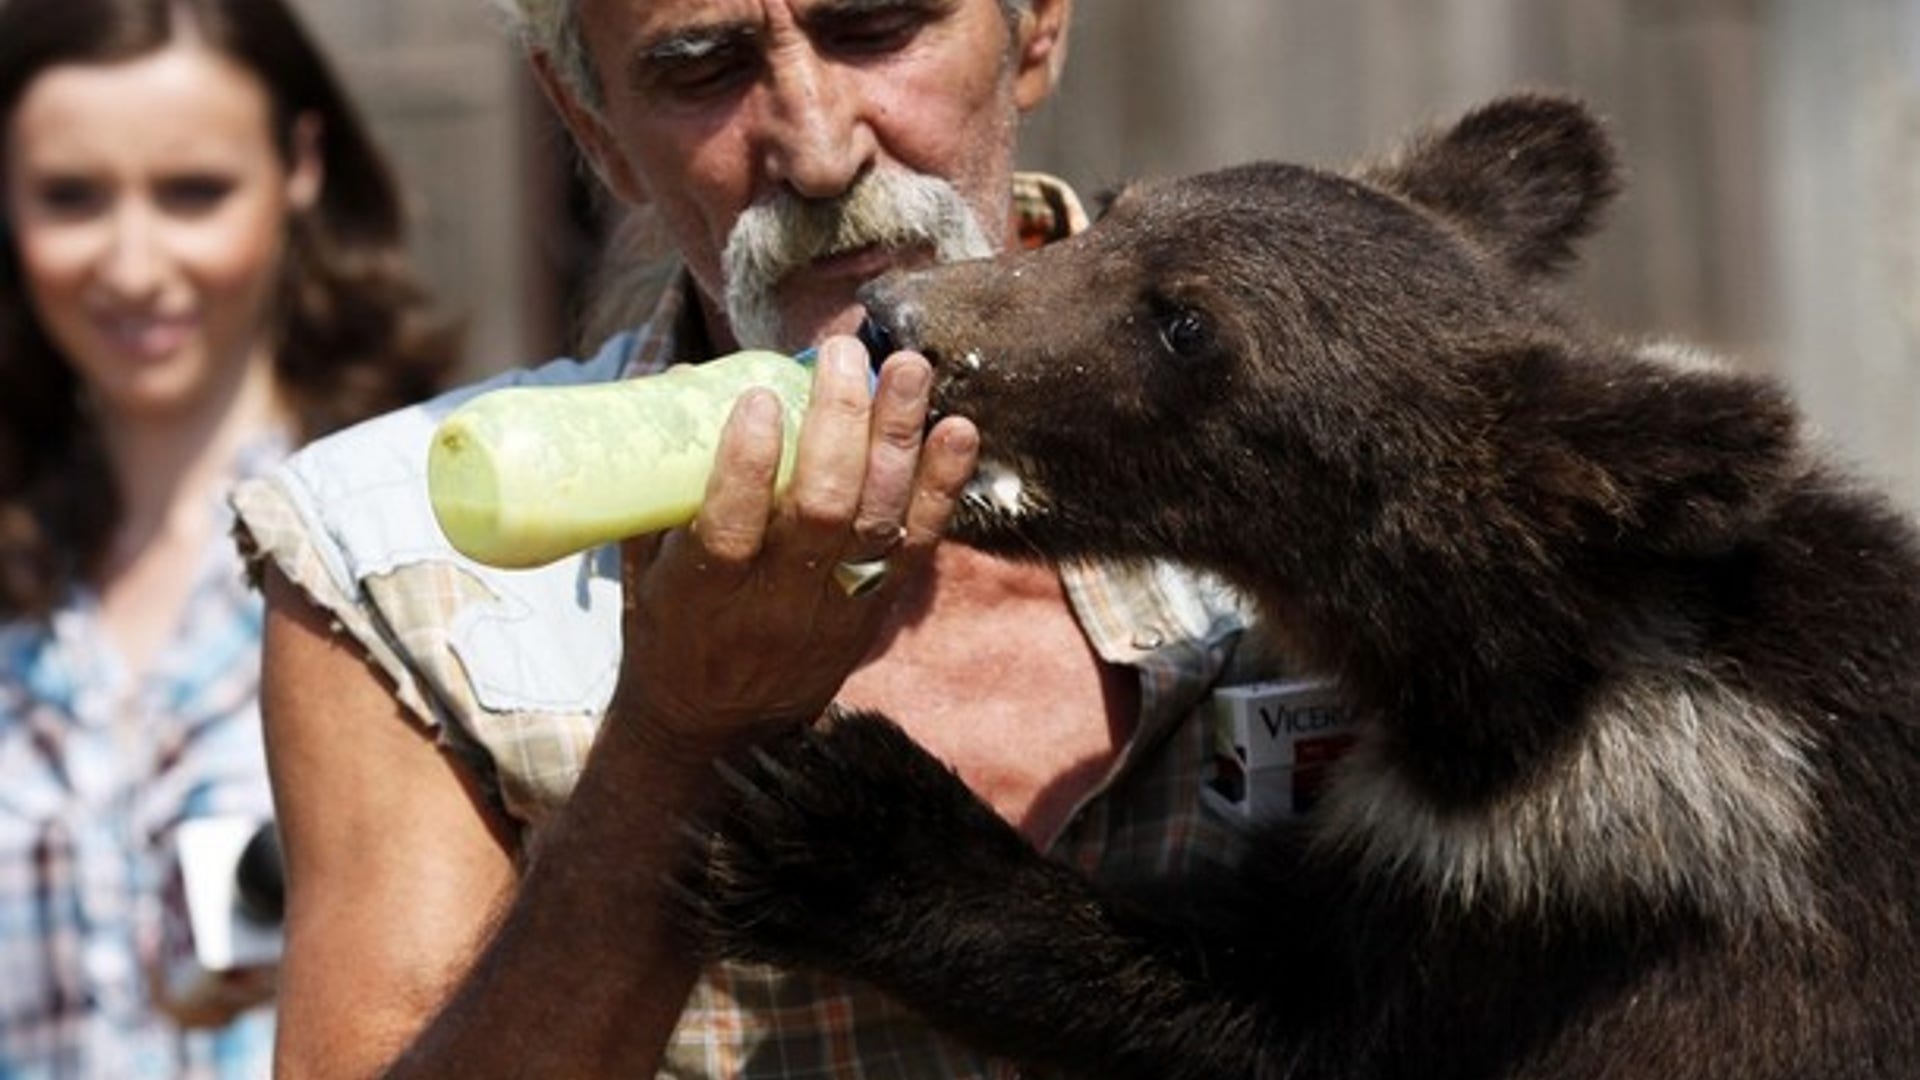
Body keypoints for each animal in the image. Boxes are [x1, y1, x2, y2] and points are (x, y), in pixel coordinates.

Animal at [680, 92, 1920, 1079]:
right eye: (1117, 209)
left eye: (1185, 324)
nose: (898, 321)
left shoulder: (1575, 905)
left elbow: (1274, 1002)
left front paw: (834, 814)